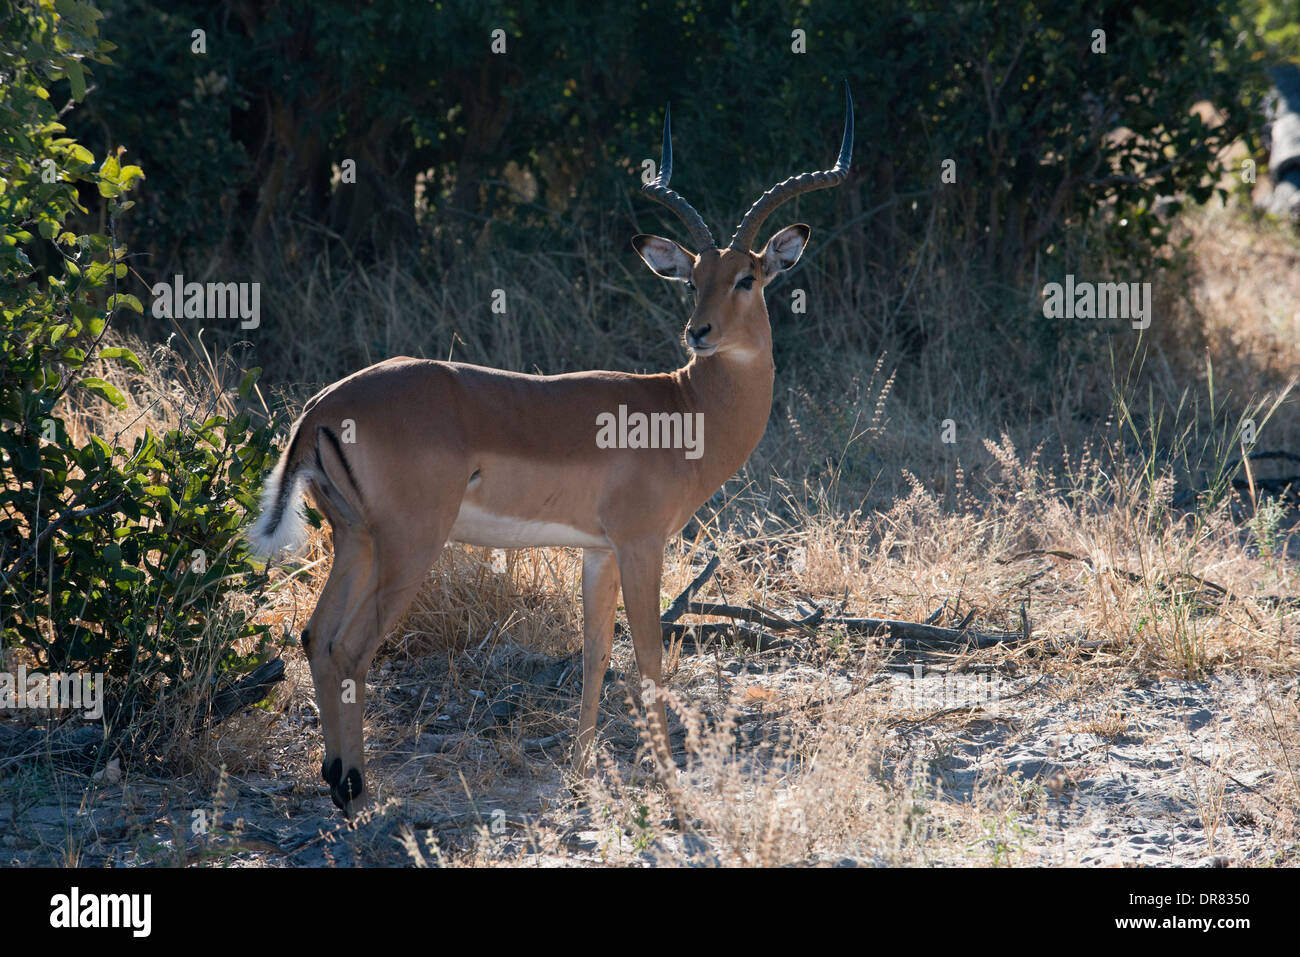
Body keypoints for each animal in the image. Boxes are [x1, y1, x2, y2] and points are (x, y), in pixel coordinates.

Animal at [248, 86, 853, 814]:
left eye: (748, 277)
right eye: (692, 279)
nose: (698, 331)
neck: (682, 408)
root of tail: (321, 408)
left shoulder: (599, 551)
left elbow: (595, 654)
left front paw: (583, 773)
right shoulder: (641, 544)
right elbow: (648, 658)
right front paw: (674, 793)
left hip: (356, 540)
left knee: (315, 635)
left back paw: (338, 778)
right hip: (408, 545)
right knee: (350, 647)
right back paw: (356, 791)